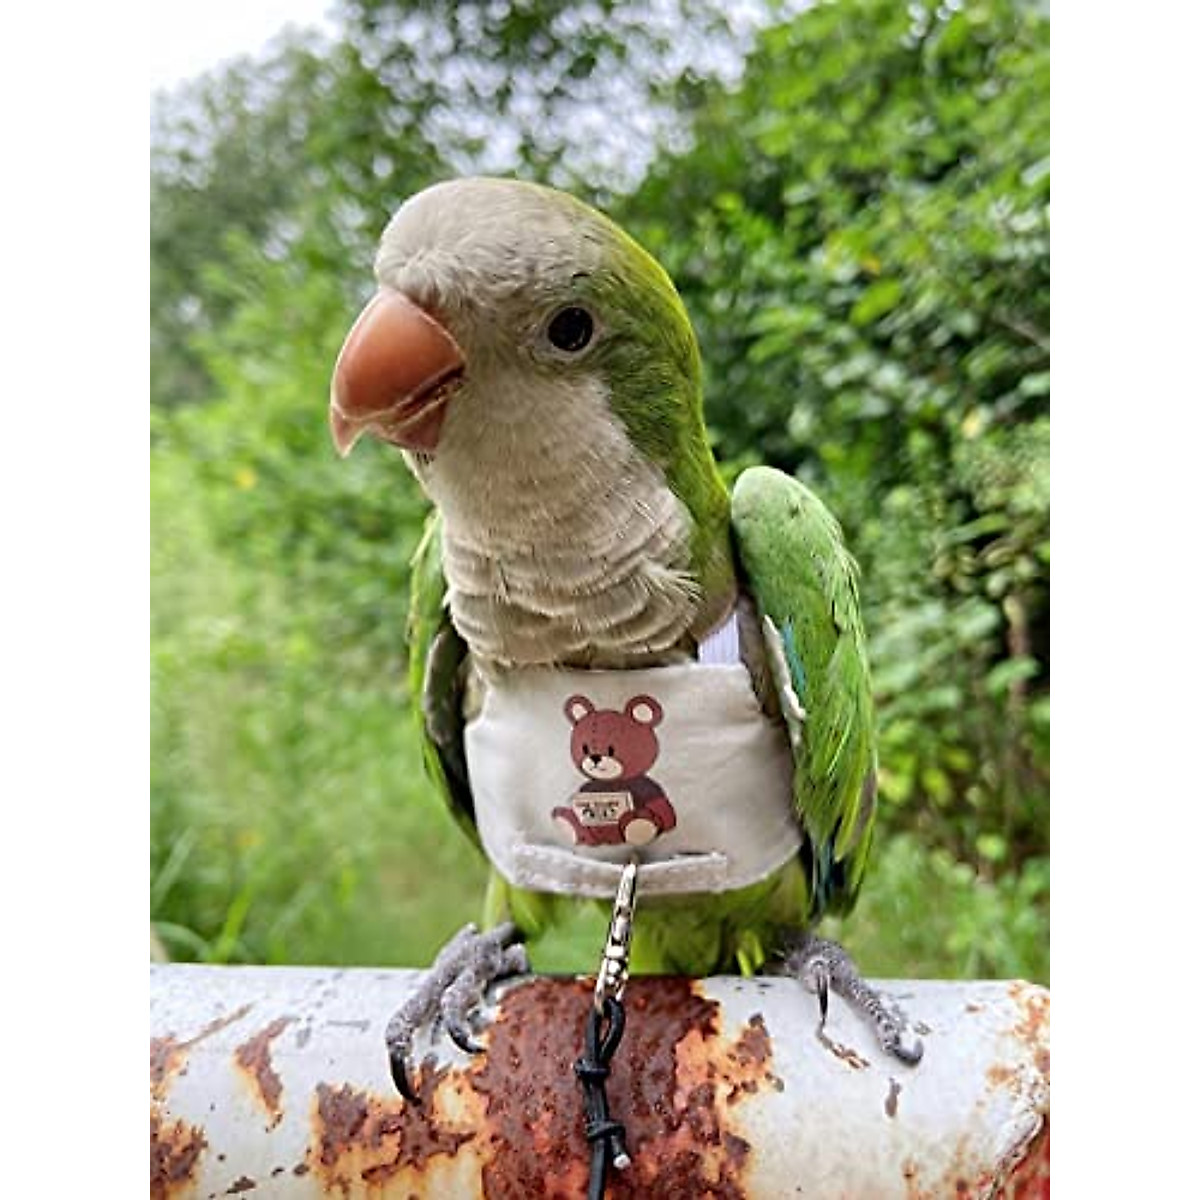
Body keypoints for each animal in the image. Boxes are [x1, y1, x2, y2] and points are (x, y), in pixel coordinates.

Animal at [552, 693, 677, 847]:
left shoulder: (649, 787)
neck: (611, 782)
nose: (595, 757)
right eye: (585, 748)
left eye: (611, 750)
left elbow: (660, 805)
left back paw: (637, 823)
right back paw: (566, 822)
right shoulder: (588, 789)